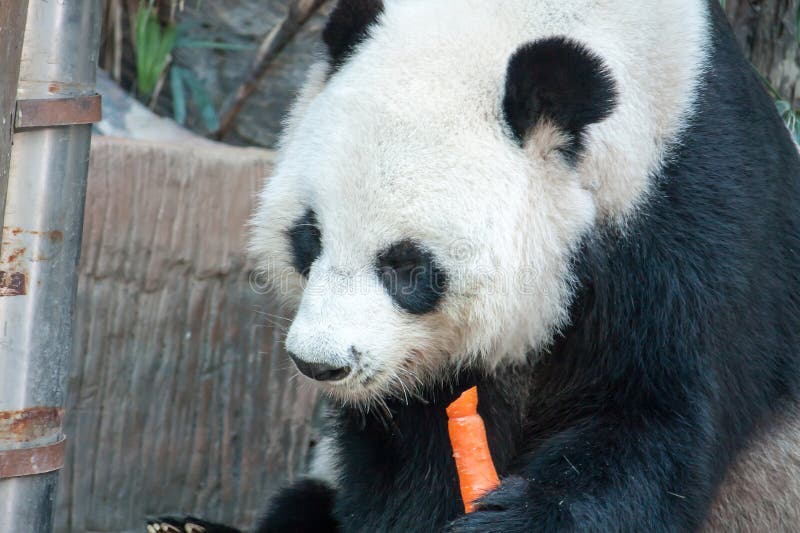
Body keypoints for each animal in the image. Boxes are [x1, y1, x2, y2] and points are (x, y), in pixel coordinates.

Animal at [149, 0, 800, 531]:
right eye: (308, 238)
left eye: (407, 265)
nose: (320, 364)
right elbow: (412, 453)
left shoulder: (692, 220)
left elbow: (646, 426)